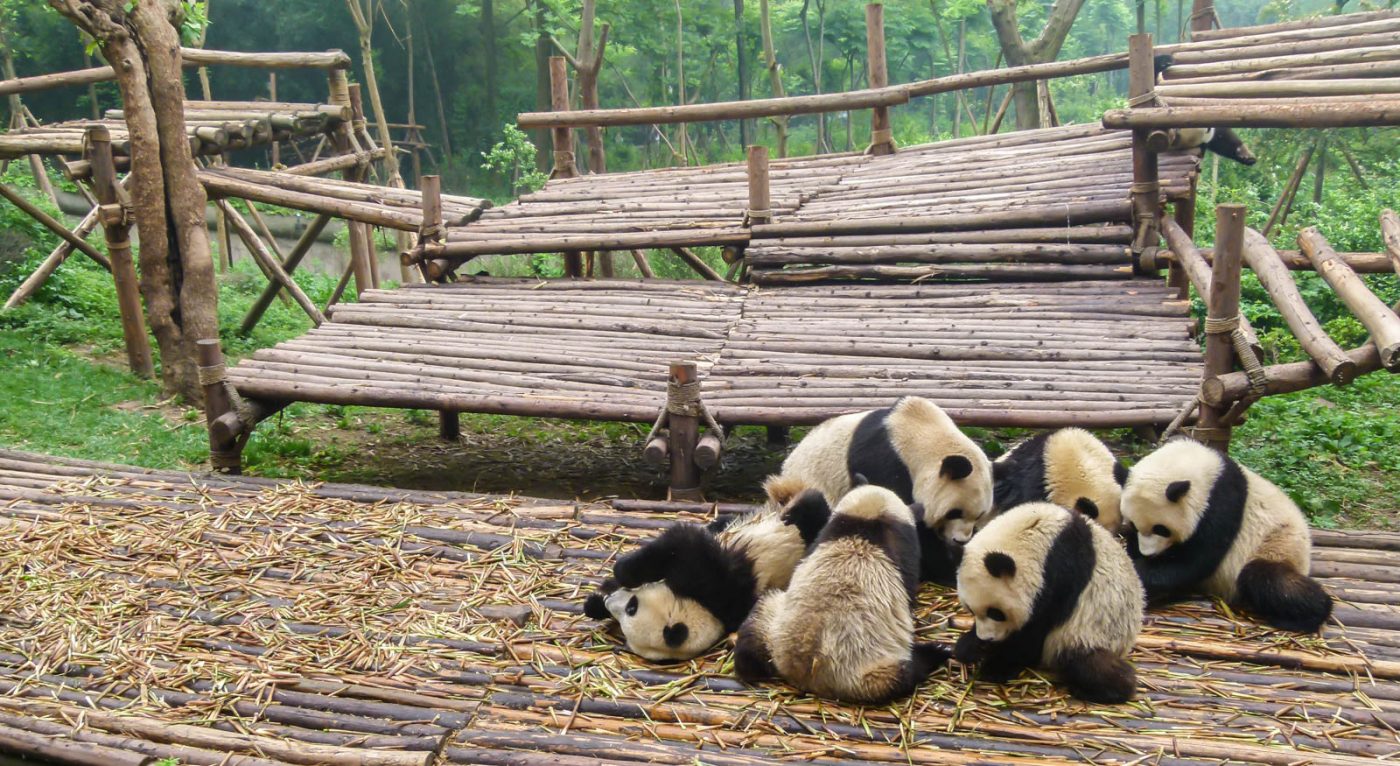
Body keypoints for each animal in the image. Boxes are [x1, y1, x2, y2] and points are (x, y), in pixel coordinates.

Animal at [582, 476, 831, 661]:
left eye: (631, 609)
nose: (610, 602)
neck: (709, 612)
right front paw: (595, 603)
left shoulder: (718, 586)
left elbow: (683, 543)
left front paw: (623, 571)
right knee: (731, 519)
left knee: (815, 515)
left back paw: (803, 509)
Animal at [733, 484, 952, 704]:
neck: (865, 522)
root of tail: (804, 670)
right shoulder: (901, 543)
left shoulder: (830, 531)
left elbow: (812, 534)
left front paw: (798, 509)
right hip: (869, 670)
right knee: (900, 676)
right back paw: (935, 653)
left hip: (772, 626)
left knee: (754, 630)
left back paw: (748, 666)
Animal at [954, 502, 1144, 704]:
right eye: (971, 610)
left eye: (996, 613)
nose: (987, 638)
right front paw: (969, 646)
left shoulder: (1059, 576)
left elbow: (1033, 632)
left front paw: (996, 666)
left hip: (1093, 634)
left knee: (1089, 663)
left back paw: (1104, 689)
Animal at [1120, 438, 1332, 633]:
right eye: (1134, 525)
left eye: (1161, 529)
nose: (1148, 554)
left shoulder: (1221, 506)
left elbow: (1191, 562)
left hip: (1278, 545)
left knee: (1266, 579)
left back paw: (1307, 616)